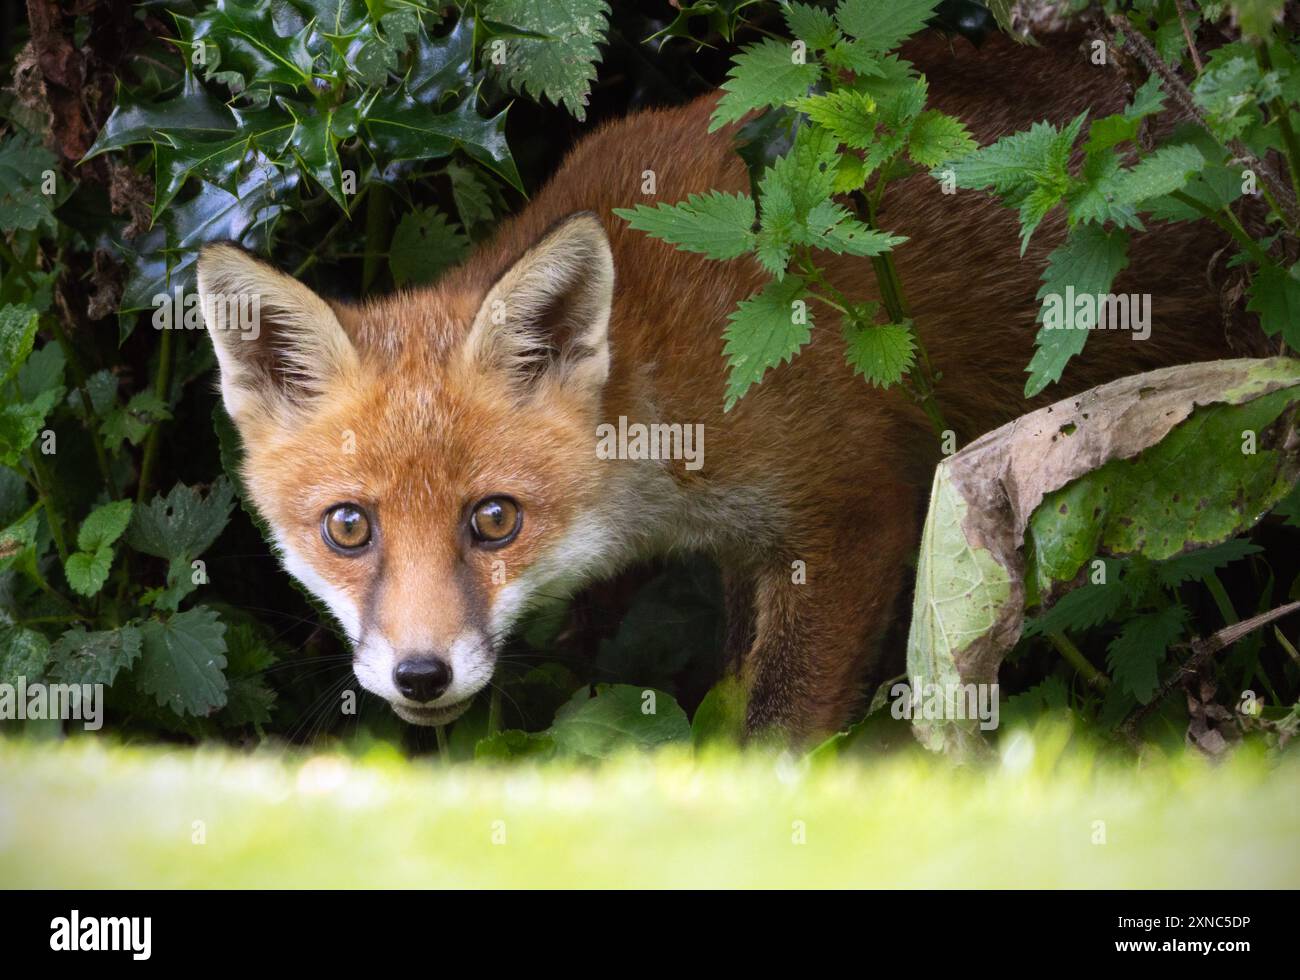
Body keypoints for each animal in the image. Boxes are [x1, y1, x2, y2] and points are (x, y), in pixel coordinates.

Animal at [199, 30, 1235, 740]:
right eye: (348, 528)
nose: (421, 676)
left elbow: (779, 730)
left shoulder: (854, 512)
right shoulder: (742, 547)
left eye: (495, 519)